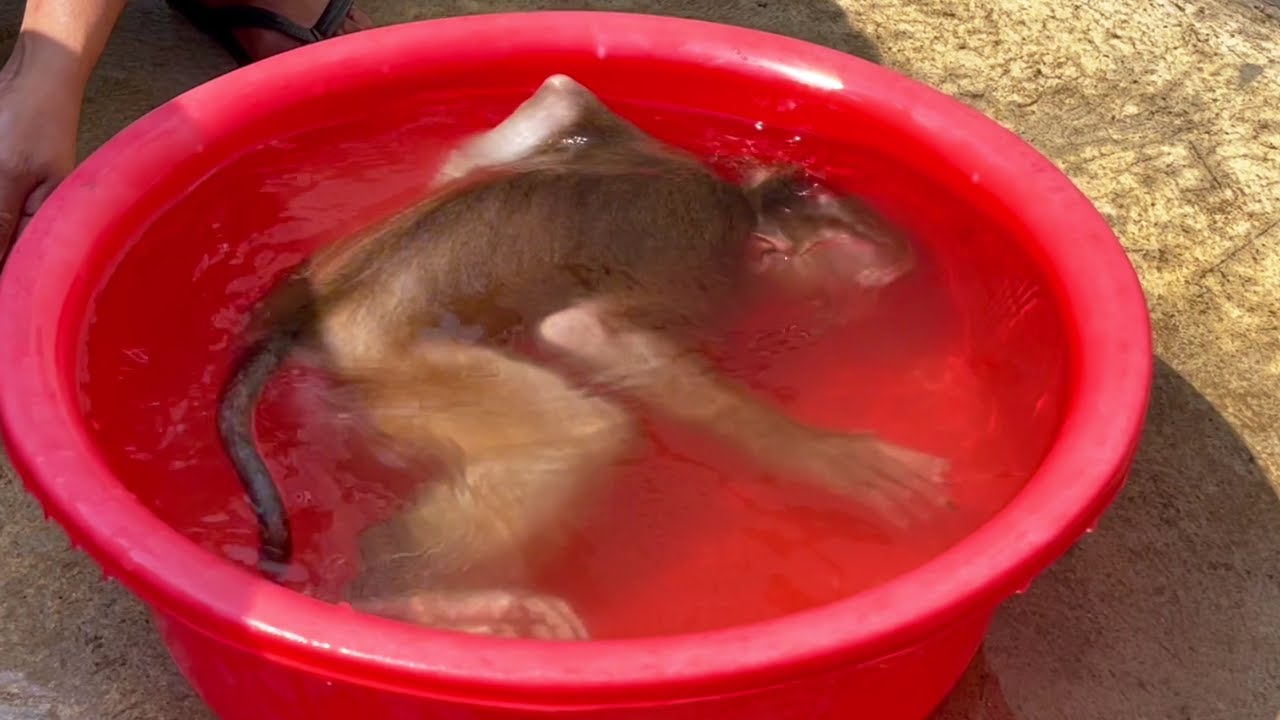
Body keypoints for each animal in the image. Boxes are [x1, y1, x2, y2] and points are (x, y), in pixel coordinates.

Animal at [216, 74, 949, 641]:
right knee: (586, 432)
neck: (740, 209)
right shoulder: (700, 266)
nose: (850, 317)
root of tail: (300, 320)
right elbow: (583, 332)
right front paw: (819, 453)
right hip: (403, 371)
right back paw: (399, 596)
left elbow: (562, 99)